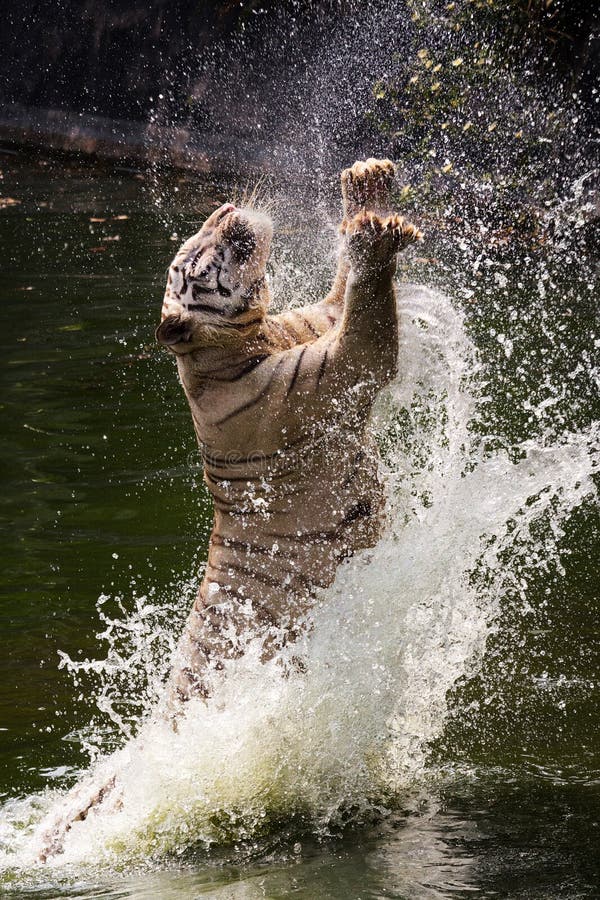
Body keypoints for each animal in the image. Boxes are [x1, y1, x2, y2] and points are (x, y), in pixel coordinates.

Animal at [157, 158, 422, 701]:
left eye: (208, 221)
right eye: (193, 256)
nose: (226, 208)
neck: (249, 338)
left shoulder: (318, 320)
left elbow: (345, 292)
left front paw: (366, 187)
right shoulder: (344, 365)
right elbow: (366, 316)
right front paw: (373, 239)